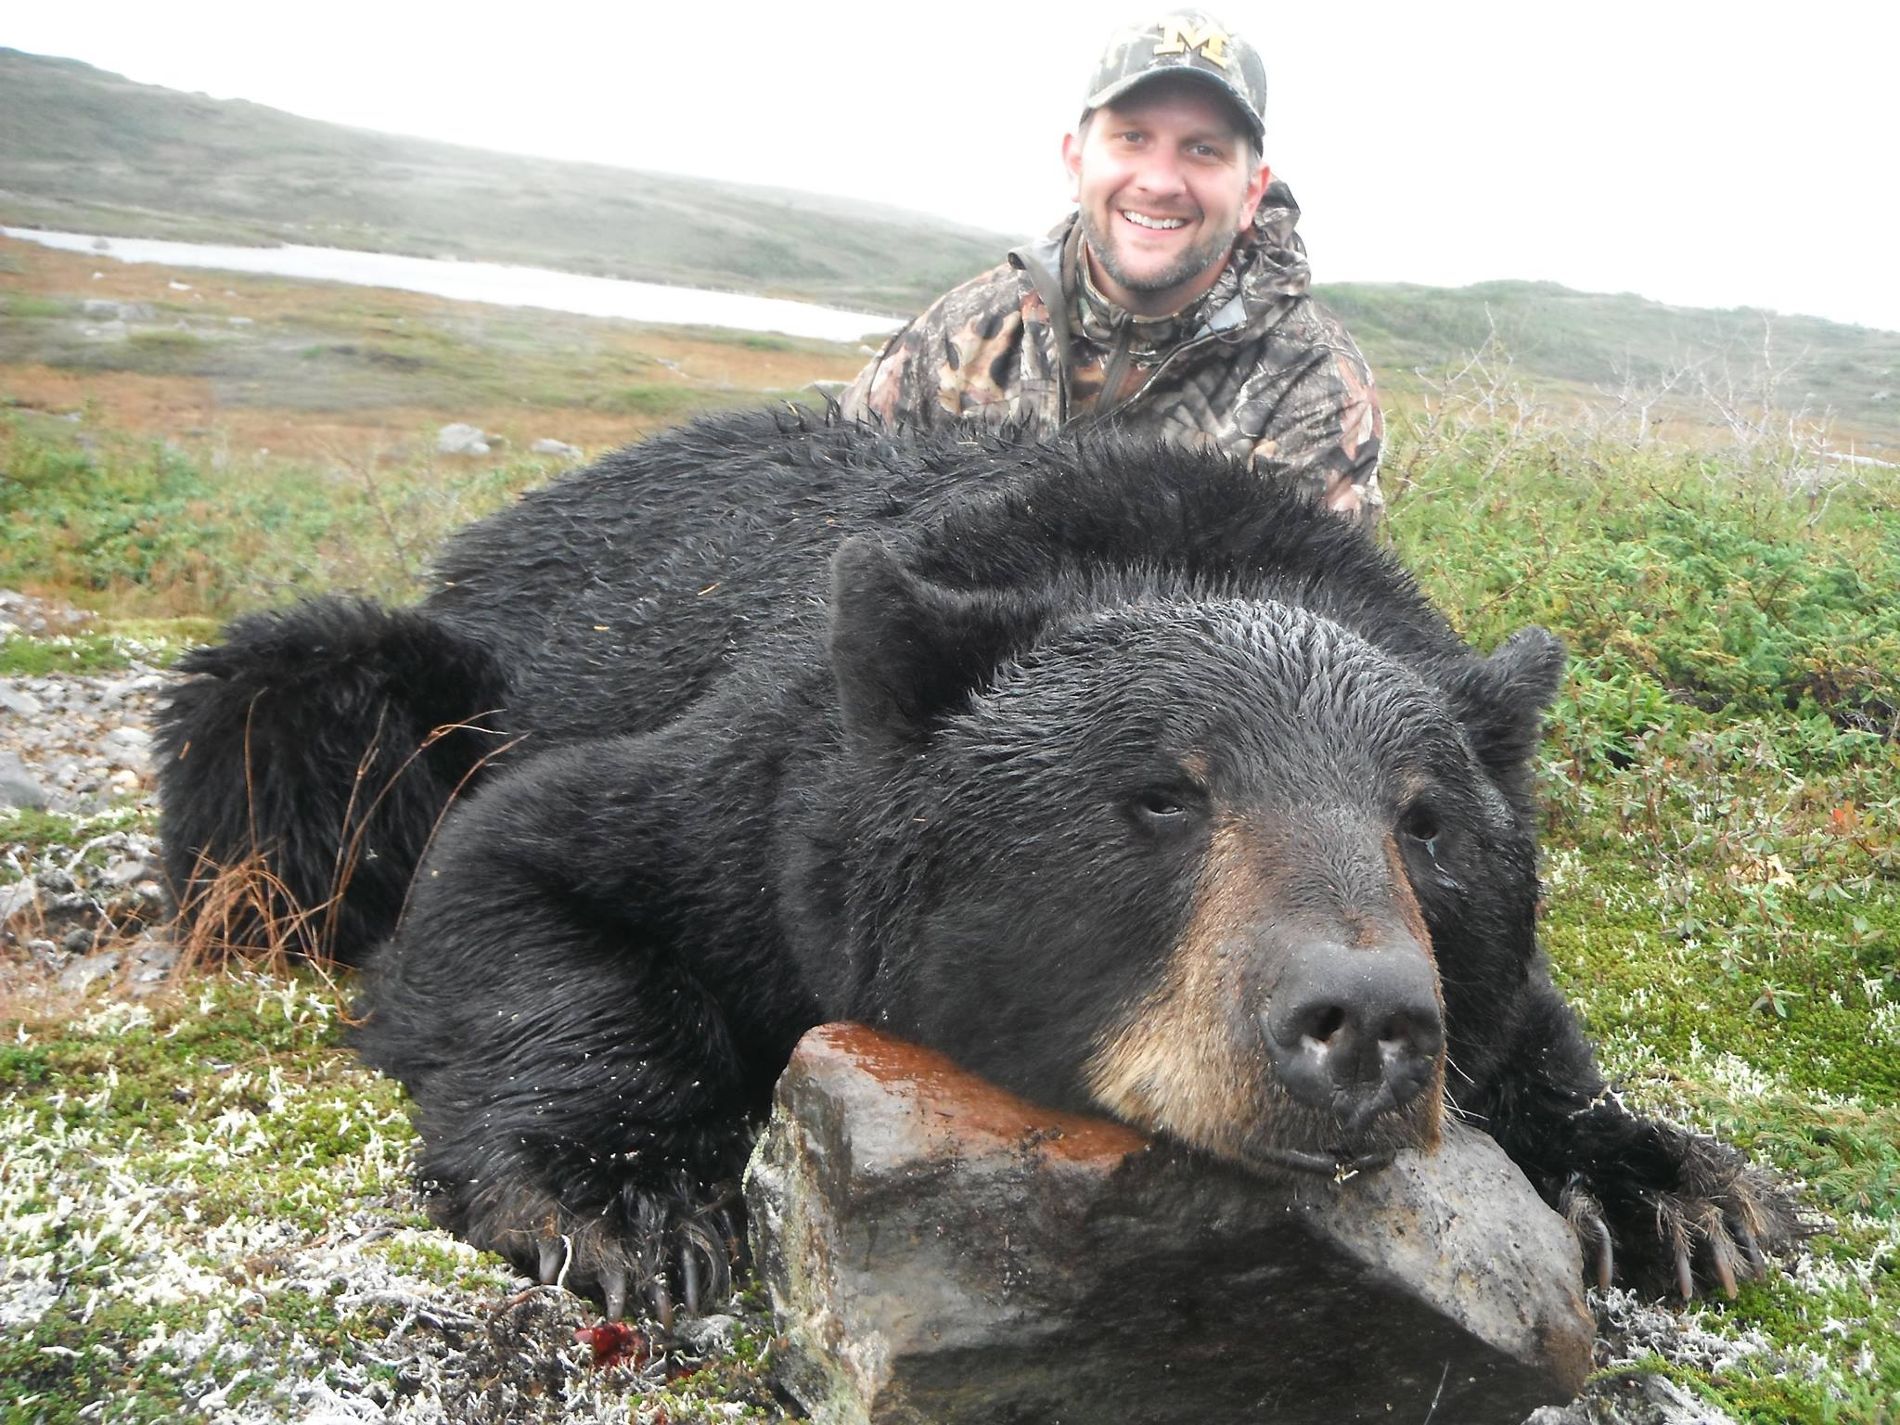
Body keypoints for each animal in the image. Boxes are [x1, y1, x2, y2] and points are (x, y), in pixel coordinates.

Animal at [157, 409, 1805, 1322]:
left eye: (1426, 821)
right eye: (1162, 795)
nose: (1365, 1025)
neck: (1166, 550)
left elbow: (1539, 1033)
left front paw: (1677, 1186)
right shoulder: (762, 784)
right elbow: (519, 871)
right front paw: (625, 1201)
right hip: (406, 678)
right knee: (288, 713)